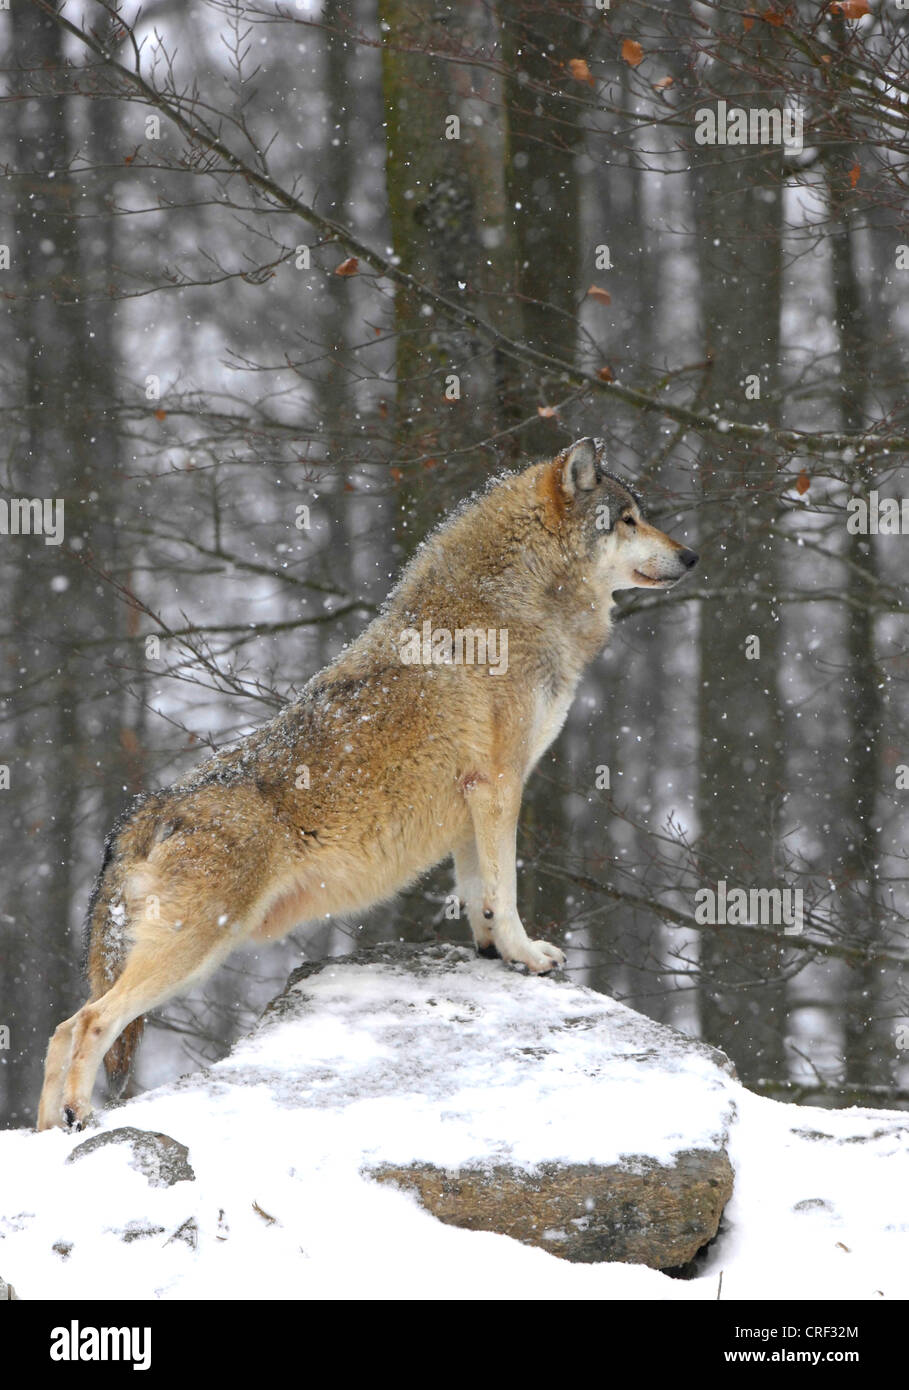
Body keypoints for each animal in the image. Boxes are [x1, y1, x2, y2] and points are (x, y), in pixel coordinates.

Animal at [37, 438, 698, 1131]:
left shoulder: (471, 800)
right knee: (91, 1021)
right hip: (194, 950)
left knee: (60, 1031)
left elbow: (479, 893)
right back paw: (81, 1114)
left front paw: (493, 951)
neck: (511, 605)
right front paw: (527, 954)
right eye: (628, 519)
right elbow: (507, 888)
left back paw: (50, 1131)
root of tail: (146, 809)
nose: (692, 555)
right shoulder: (499, 784)